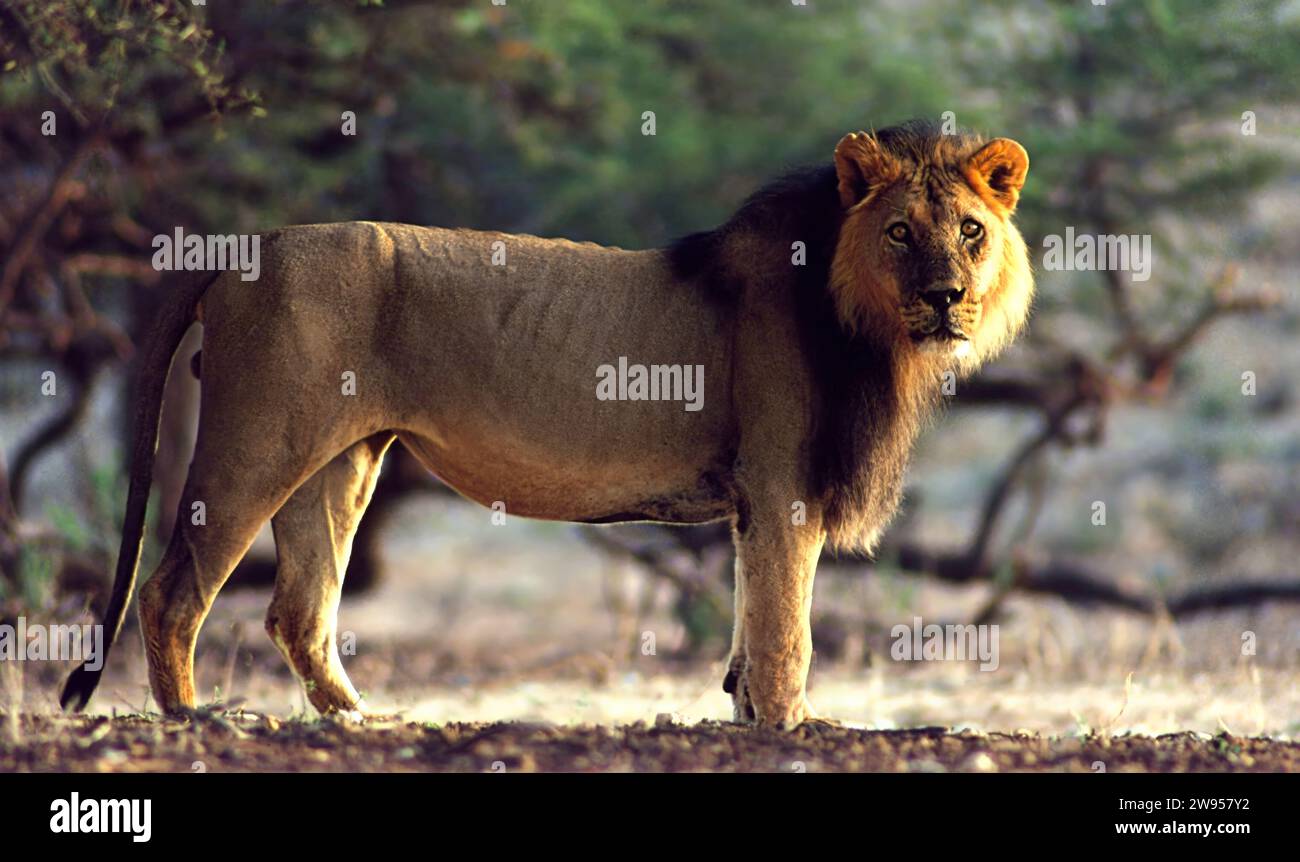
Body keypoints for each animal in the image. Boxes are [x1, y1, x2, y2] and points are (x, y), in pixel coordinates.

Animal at [61, 120, 1032, 728]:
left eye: (971, 232)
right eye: (901, 232)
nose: (946, 297)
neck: (864, 327)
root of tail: (245, 247)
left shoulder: (755, 502)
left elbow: (748, 623)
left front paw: (749, 712)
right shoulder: (781, 484)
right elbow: (784, 628)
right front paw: (794, 727)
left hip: (341, 460)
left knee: (299, 609)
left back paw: (363, 722)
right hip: (259, 443)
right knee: (171, 591)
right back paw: (195, 719)